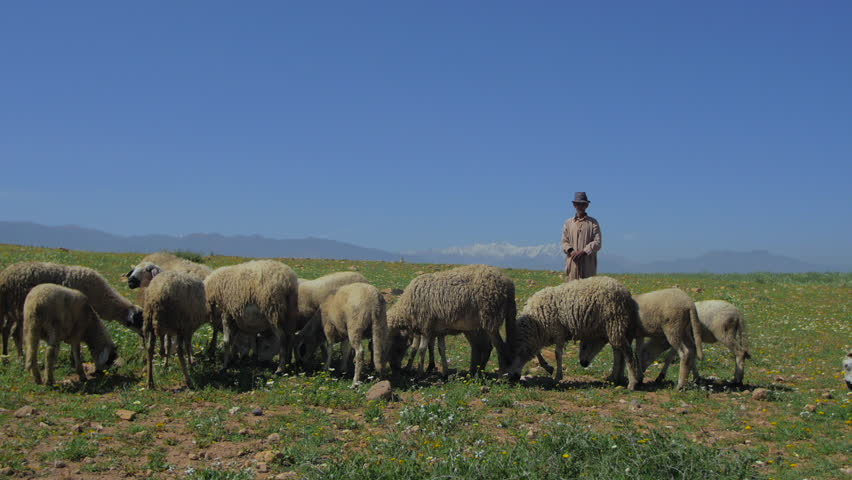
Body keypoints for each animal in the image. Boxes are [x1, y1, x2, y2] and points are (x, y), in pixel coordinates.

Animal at [1, 262, 143, 358]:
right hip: (21, 309)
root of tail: (5, 277)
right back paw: (20, 357)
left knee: (5, 330)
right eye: (138, 321)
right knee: (15, 334)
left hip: (11, 311)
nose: (143, 335)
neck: (102, 299)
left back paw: (5, 355)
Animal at [386, 264, 516, 375]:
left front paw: (420, 372)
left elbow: (421, 349)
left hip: (490, 319)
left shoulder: (425, 326)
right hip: (479, 326)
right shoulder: (436, 330)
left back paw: (497, 374)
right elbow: (437, 348)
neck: (406, 307)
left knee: (498, 346)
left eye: (395, 347)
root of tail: (508, 282)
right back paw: (475, 372)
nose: (394, 368)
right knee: (482, 347)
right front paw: (440, 370)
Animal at [507, 276, 642, 390]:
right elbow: (538, 353)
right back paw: (614, 378)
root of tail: (625, 292)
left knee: (626, 352)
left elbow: (557, 354)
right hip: (612, 328)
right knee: (617, 351)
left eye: (514, 357)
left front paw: (557, 376)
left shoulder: (558, 332)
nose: (512, 378)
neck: (536, 322)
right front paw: (548, 367)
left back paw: (632, 383)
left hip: (614, 323)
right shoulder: (541, 336)